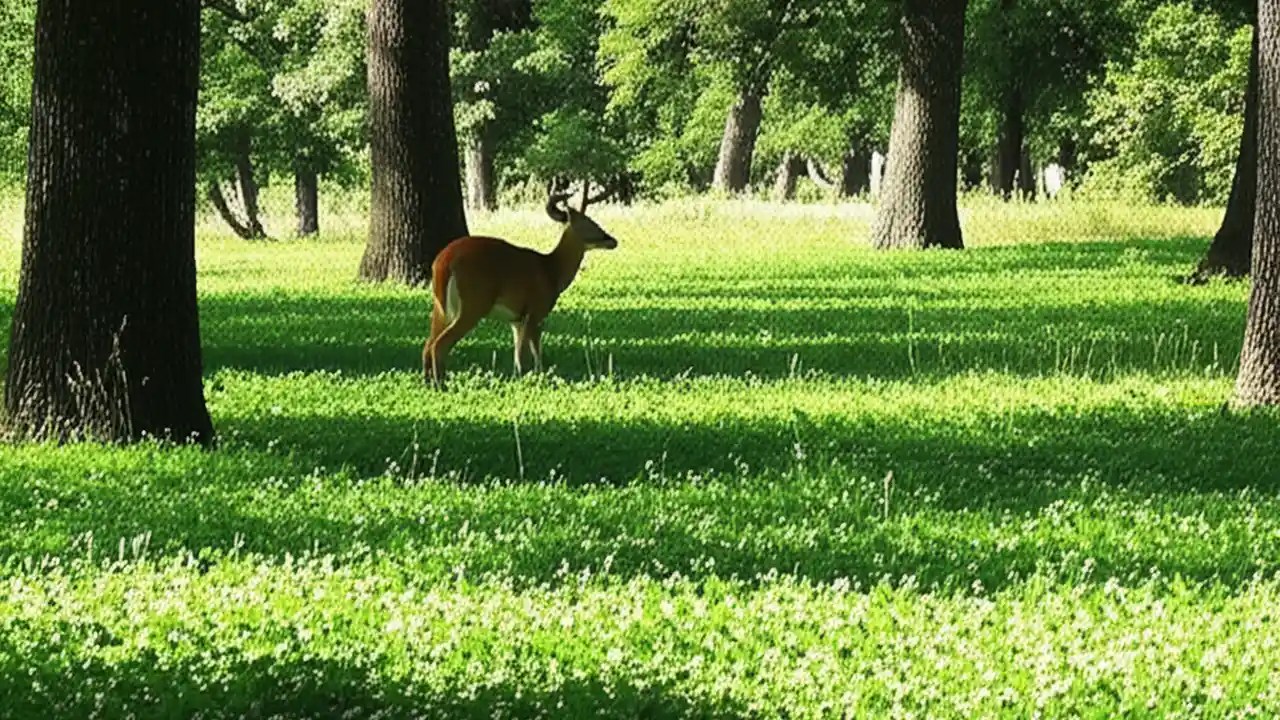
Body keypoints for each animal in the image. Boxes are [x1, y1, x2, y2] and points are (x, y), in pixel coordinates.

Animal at [424, 185, 620, 389]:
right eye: (590, 222)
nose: (613, 240)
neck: (551, 271)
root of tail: (443, 262)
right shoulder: (535, 312)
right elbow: (532, 352)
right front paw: (536, 379)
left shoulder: (516, 320)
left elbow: (518, 356)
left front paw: (520, 378)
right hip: (473, 304)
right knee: (439, 344)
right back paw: (441, 384)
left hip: (440, 307)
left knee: (428, 343)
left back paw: (428, 382)